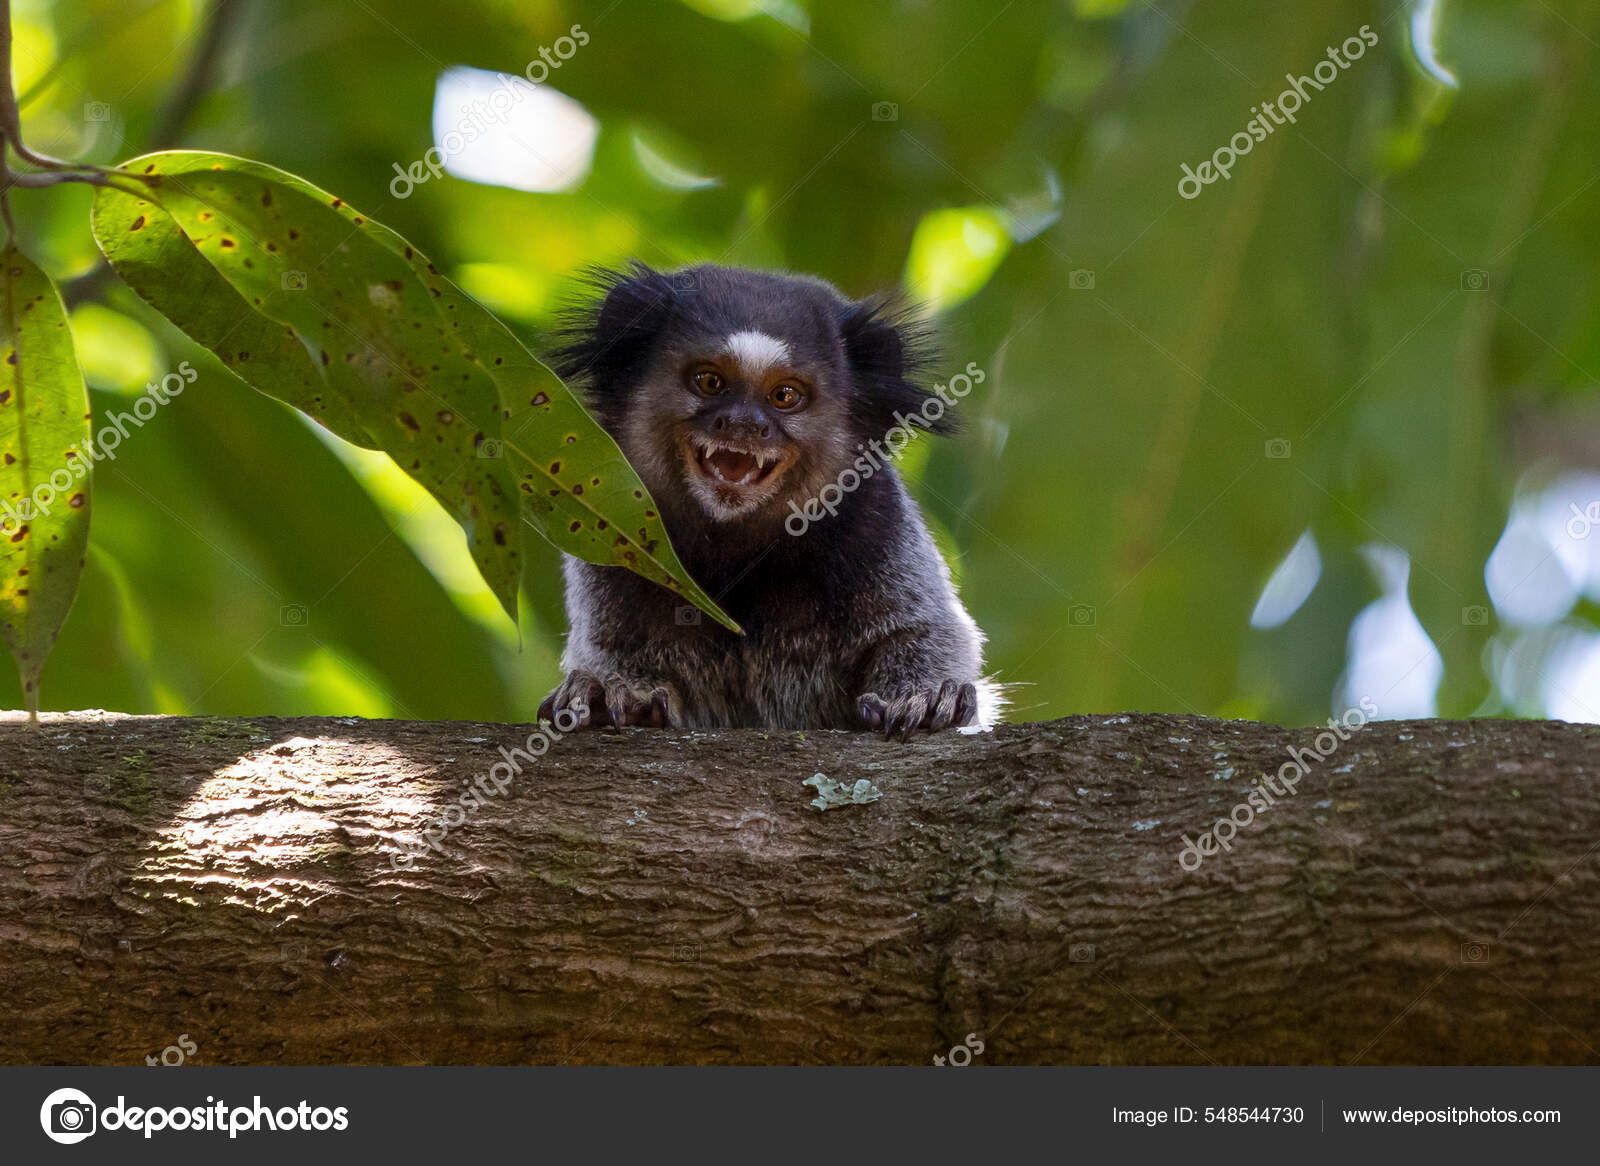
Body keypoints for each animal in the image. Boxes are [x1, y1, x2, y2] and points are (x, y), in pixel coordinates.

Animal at [536, 262, 1001, 739]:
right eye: (709, 381)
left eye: (785, 395)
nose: (743, 424)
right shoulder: (614, 530)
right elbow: (612, 648)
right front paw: (617, 694)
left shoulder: (879, 521)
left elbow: (926, 631)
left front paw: (922, 697)